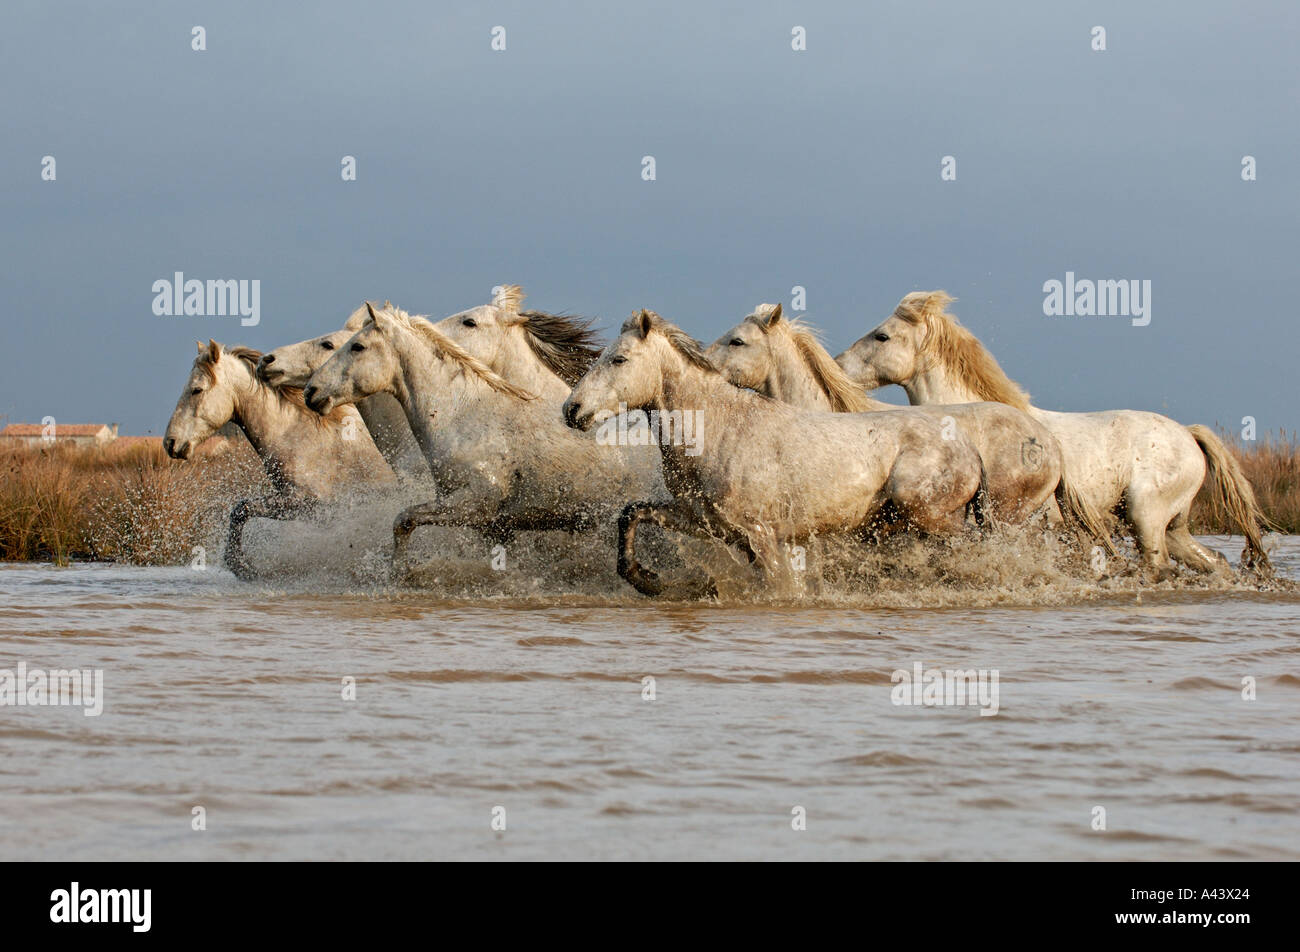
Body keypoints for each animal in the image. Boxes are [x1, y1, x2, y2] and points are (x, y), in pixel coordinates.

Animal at [163, 340, 396, 578]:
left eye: (196, 390)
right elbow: (241, 509)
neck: (301, 436)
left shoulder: (310, 505)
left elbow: (242, 509)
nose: (170, 442)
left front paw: (240, 565)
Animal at [301, 303, 666, 570]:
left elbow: (403, 520)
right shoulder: (493, 525)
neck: (464, 414)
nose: (311, 391)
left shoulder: (471, 504)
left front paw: (400, 572)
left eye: (358, 346)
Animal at [562, 310, 988, 598]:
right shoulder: (703, 519)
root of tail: (968, 448)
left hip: (929, 514)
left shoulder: (761, 534)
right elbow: (631, 513)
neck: (720, 429)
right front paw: (645, 579)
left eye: (619, 359)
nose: (571, 409)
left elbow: (778, 587)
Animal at [835, 291, 1271, 575]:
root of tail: (1189, 435)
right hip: (1172, 525)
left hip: (1146, 517)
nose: (837, 364)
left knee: (1160, 565)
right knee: (1215, 564)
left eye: (882, 336)